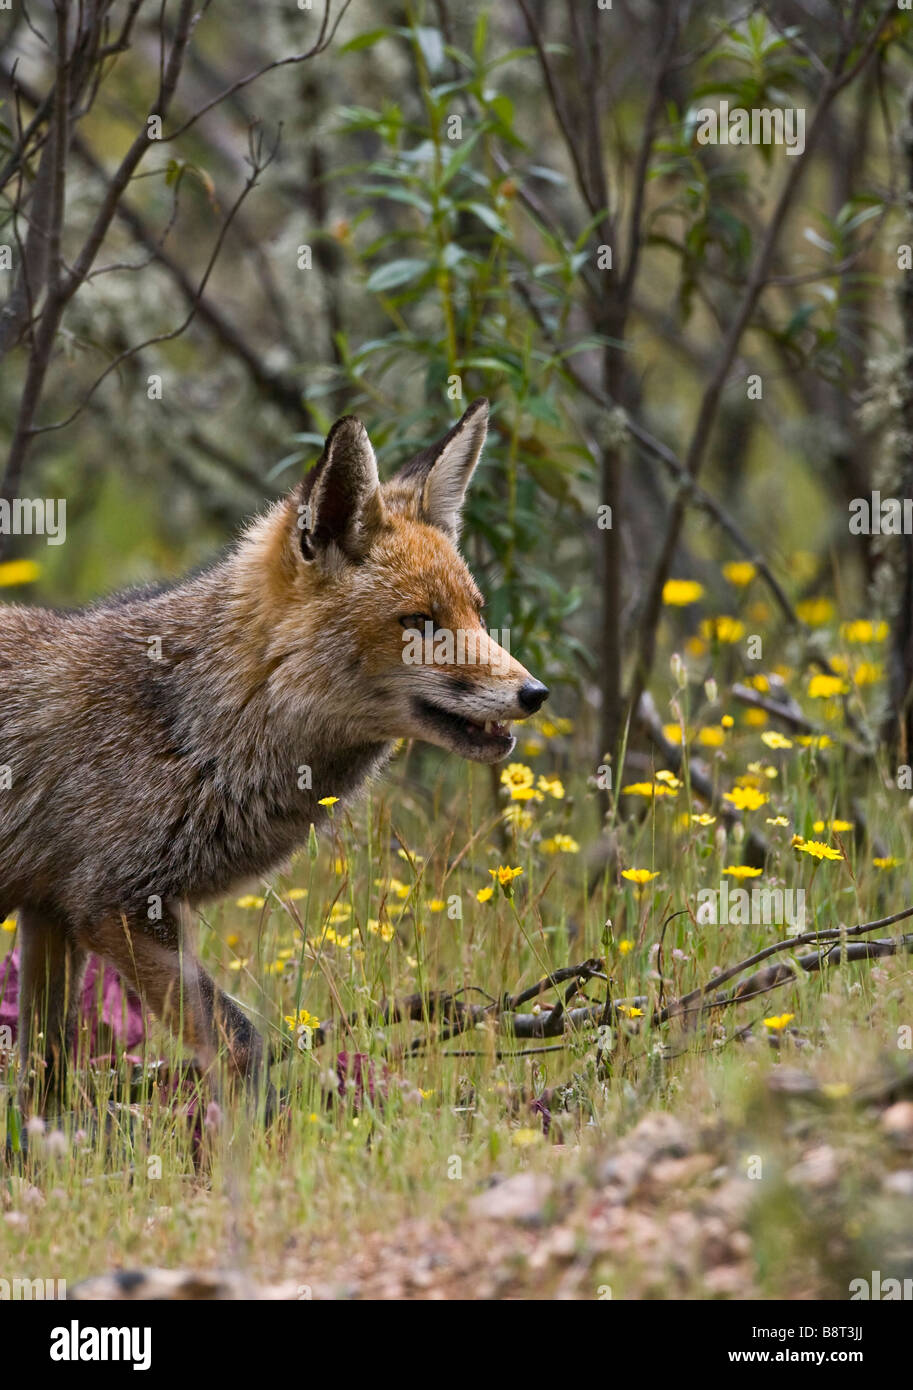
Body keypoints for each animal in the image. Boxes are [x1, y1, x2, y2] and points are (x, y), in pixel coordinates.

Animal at [0, 398, 548, 1106]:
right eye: (421, 623)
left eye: (478, 615)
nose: (536, 693)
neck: (200, 726)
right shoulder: (114, 906)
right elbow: (243, 1043)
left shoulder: (51, 910)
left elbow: (48, 1076)